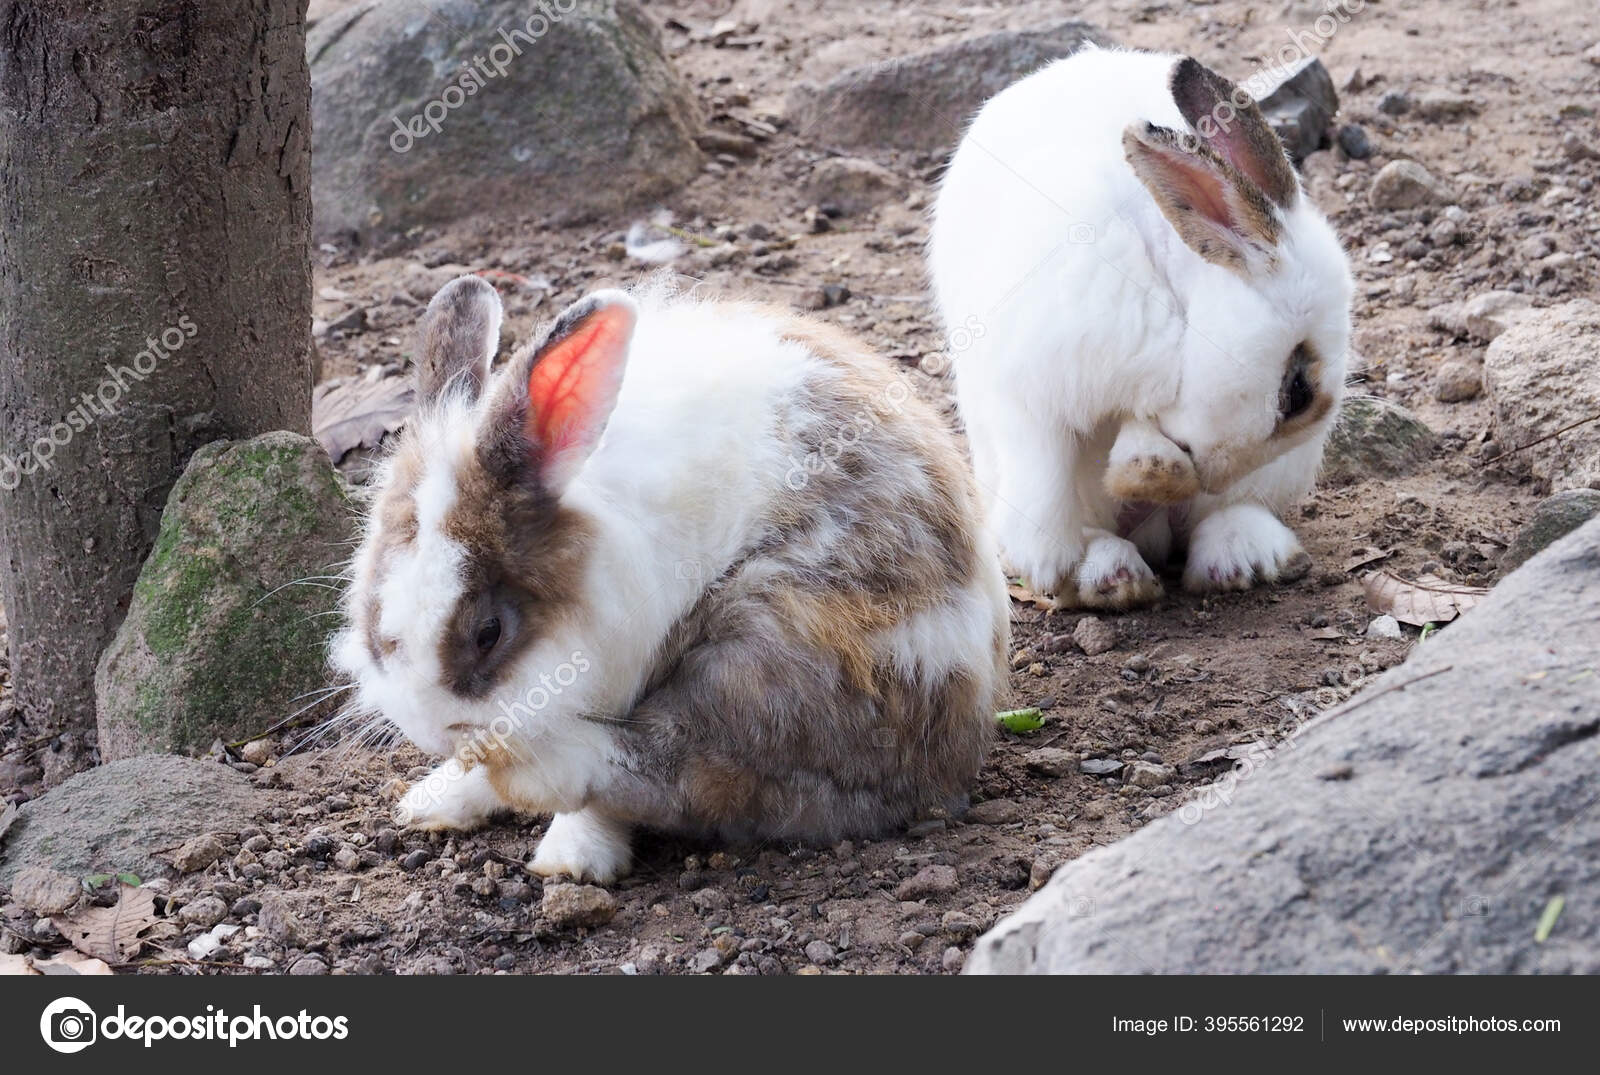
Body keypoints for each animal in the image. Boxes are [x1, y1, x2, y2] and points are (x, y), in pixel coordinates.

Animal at [329, 276, 1009, 882]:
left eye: (489, 631)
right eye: (369, 617)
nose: (427, 729)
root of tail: (956, 750)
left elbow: (625, 786)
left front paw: (577, 858)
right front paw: (438, 798)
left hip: (781, 654)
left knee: (678, 768)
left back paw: (537, 802)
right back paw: (435, 803)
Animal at [928, 47, 1353, 608]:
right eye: (1299, 392)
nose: (1209, 480)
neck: (1178, 307)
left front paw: (1153, 474)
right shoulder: (1031, 394)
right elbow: (1045, 481)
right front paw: (1048, 567)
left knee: (1227, 518)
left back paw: (1235, 557)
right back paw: (1111, 572)